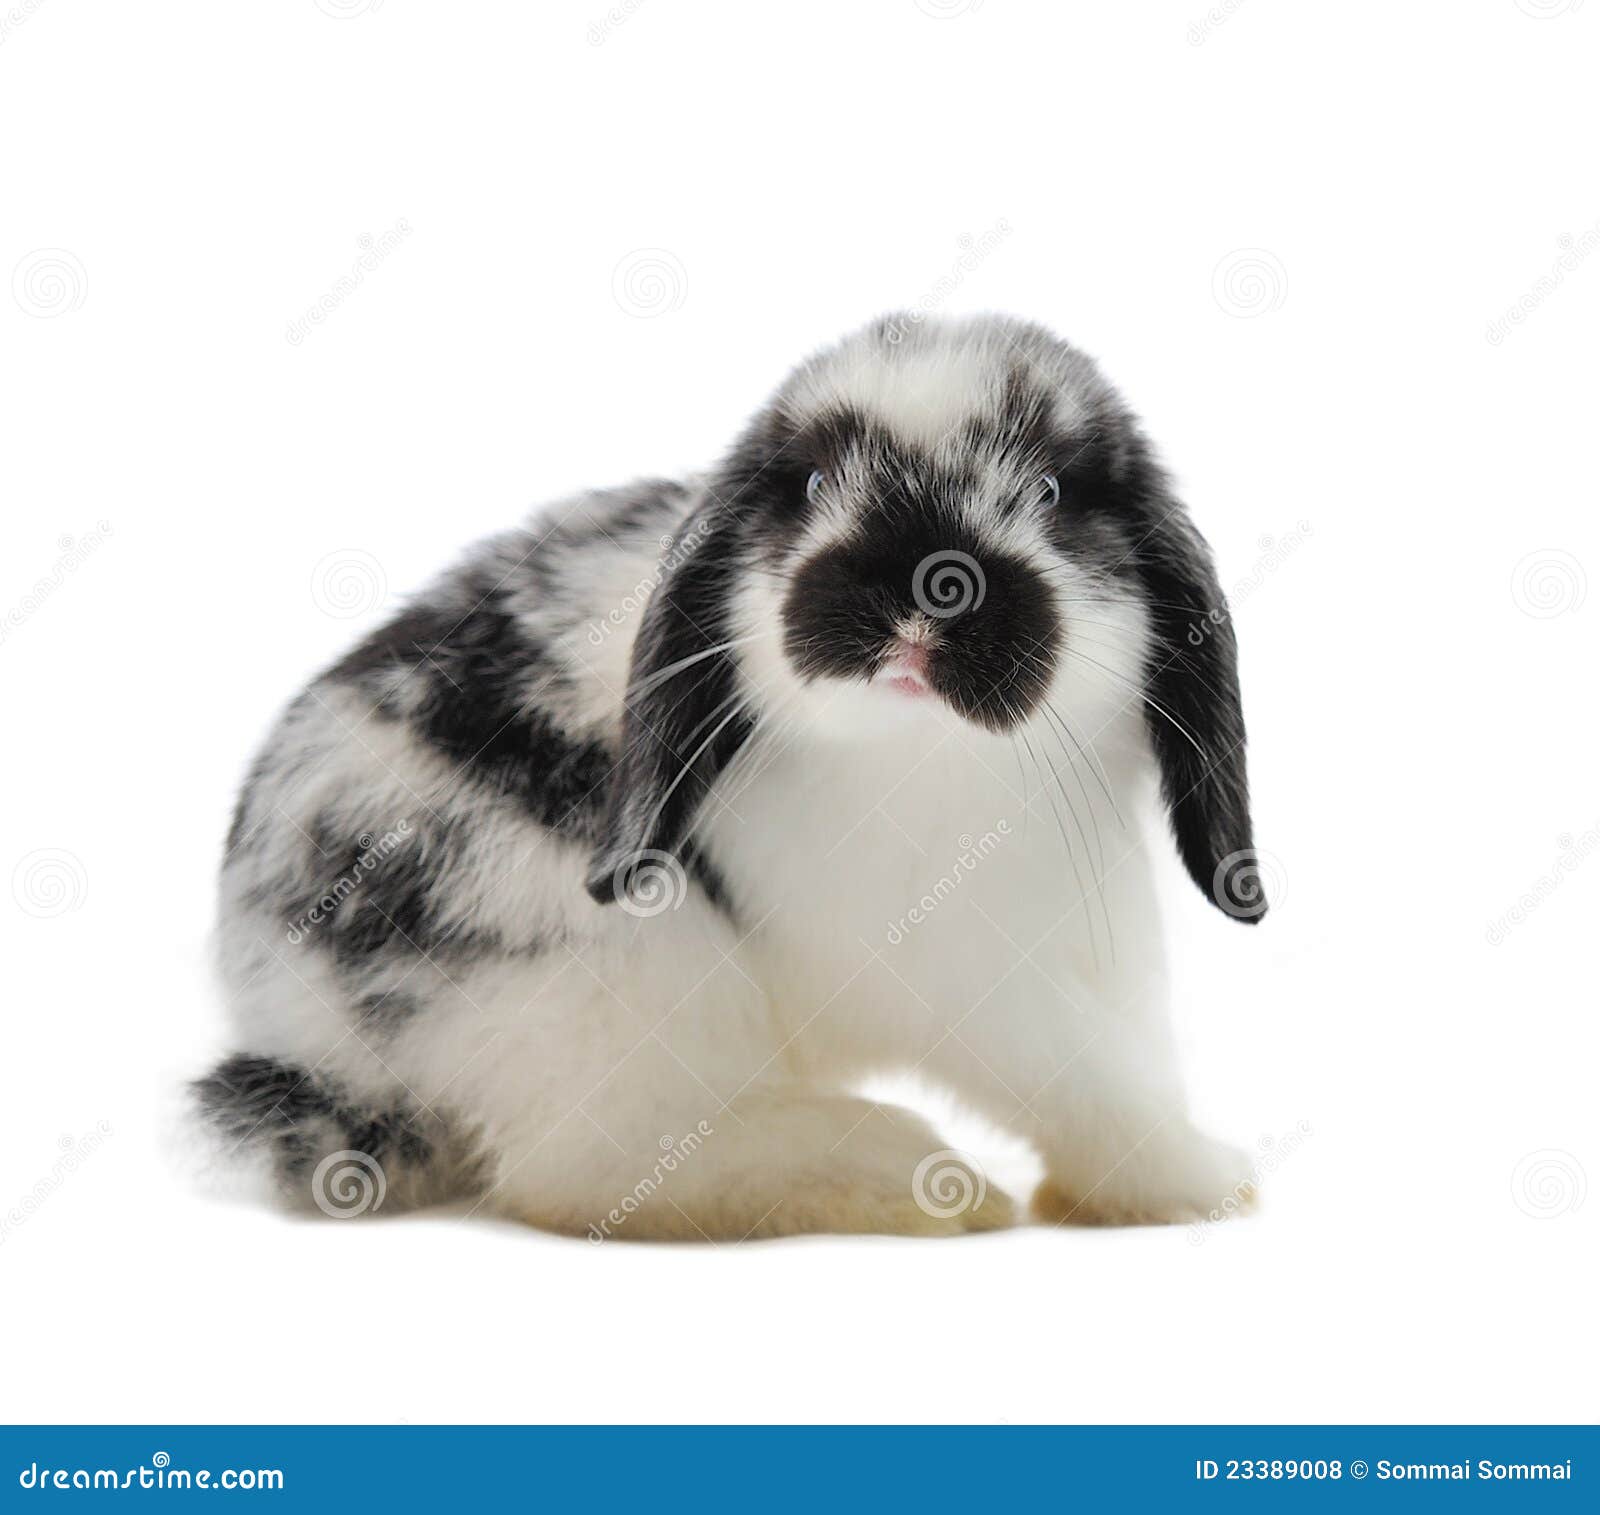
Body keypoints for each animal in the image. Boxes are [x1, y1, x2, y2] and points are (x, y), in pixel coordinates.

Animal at [196, 312, 1267, 1239]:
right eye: (814, 482)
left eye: (1050, 490)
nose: (925, 583)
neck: (928, 761)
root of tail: (293, 1020)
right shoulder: (975, 981)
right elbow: (1093, 1082)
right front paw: (1203, 1182)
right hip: (606, 969)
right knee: (595, 1163)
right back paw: (908, 1177)